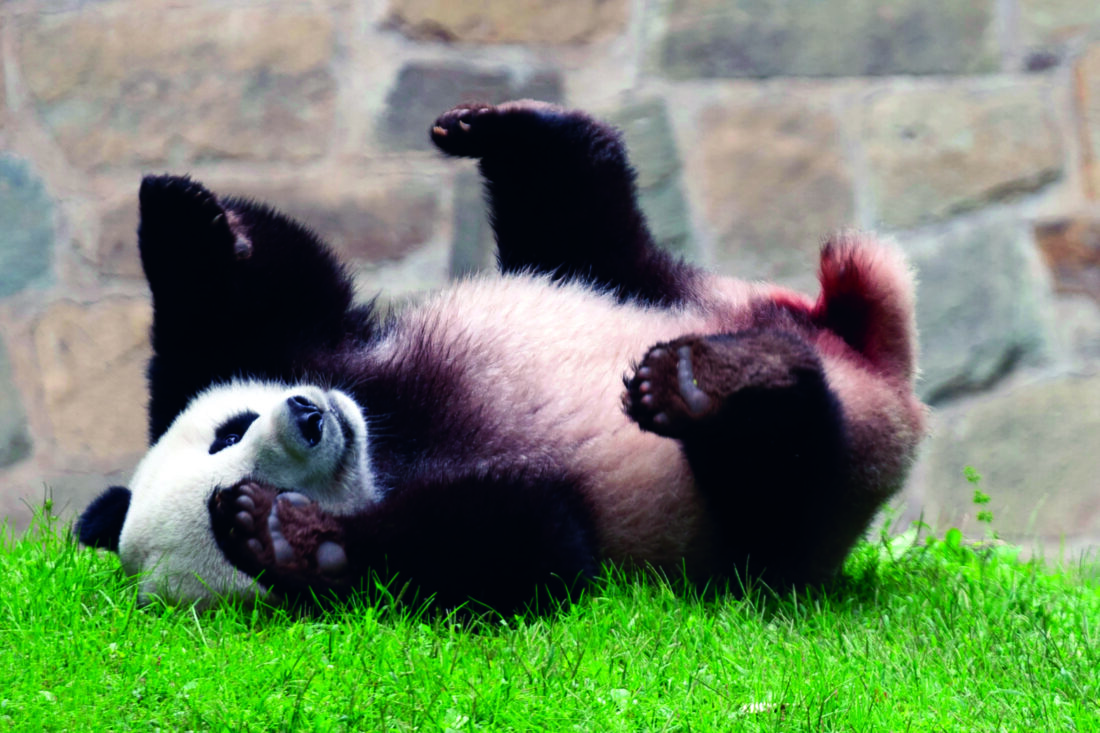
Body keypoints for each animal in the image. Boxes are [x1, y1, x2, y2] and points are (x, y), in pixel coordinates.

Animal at [77, 100, 926, 614]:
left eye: (229, 430)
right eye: (236, 469)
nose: (309, 417)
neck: (387, 440)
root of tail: (876, 366)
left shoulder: (316, 352)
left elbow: (270, 298)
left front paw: (178, 213)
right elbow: (531, 545)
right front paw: (287, 536)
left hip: (649, 284)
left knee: (584, 218)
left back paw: (510, 130)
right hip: (787, 511)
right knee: (784, 472)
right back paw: (717, 385)